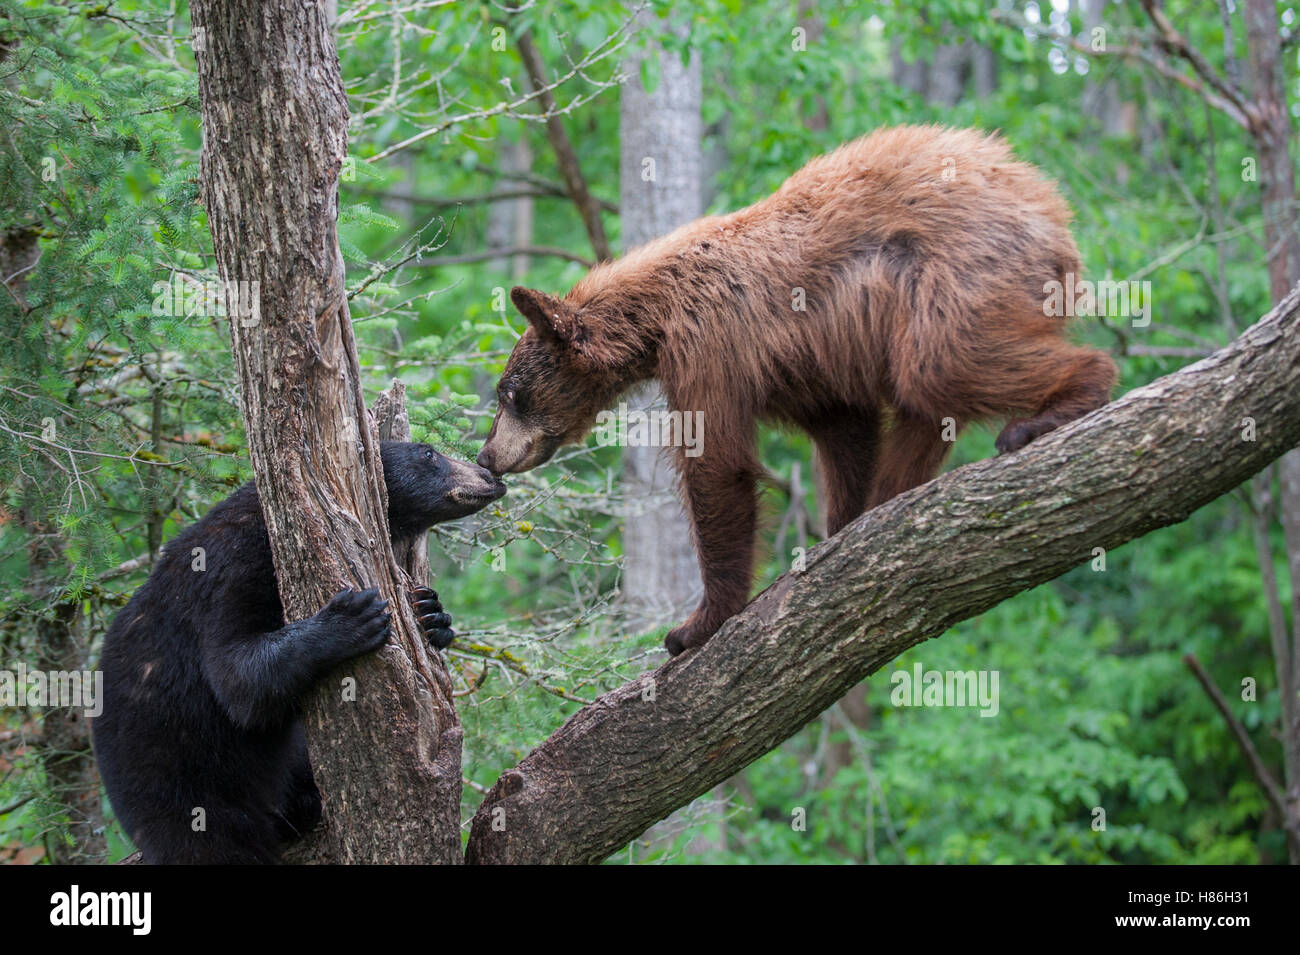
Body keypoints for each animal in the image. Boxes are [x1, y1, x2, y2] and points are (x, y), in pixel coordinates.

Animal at [92, 441, 506, 864]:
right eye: (428, 454)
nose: (491, 476)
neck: (269, 527)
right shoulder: (227, 570)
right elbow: (237, 677)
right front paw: (348, 619)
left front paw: (431, 612)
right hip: (184, 784)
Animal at [476, 125, 1117, 656]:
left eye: (506, 394)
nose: (485, 456)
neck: (653, 320)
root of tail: (1055, 215)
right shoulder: (796, 366)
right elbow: (843, 425)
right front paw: (846, 521)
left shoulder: (712, 344)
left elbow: (718, 463)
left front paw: (695, 625)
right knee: (925, 404)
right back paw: (894, 493)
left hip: (956, 272)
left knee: (944, 364)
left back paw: (1056, 407)